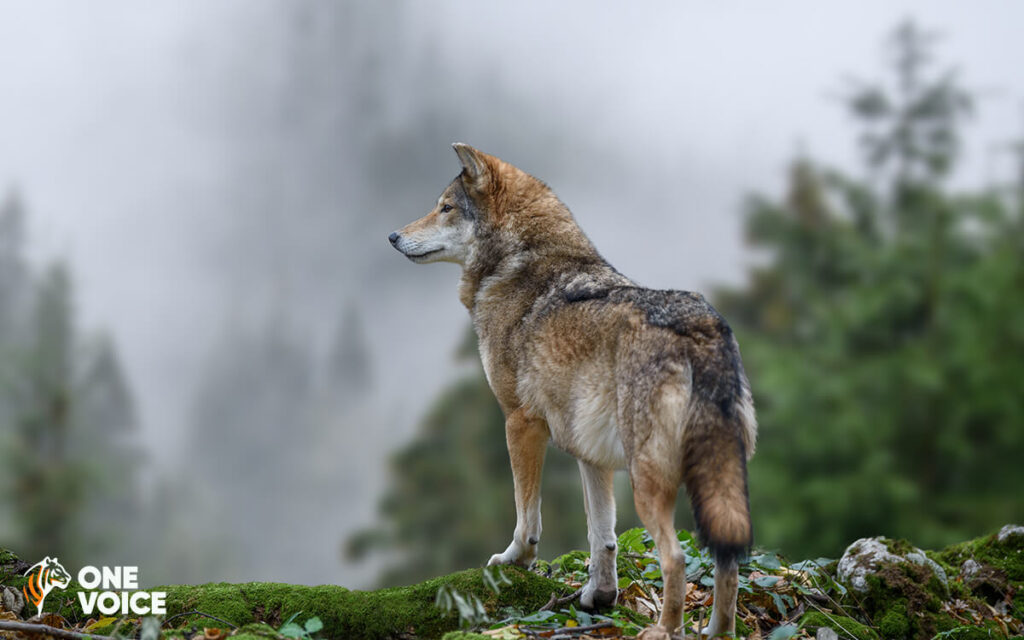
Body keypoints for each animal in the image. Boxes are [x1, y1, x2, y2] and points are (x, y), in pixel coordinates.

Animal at [389, 144, 756, 639]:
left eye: (445, 207)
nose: (393, 236)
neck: (520, 264)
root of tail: (698, 330)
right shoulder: (589, 452)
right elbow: (602, 536)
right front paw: (599, 596)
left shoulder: (520, 423)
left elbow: (527, 516)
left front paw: (515, 561)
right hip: (715, 482)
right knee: (727, 561)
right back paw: (717, 632)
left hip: (648, 481)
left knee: (677, 558)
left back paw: (664, 630)